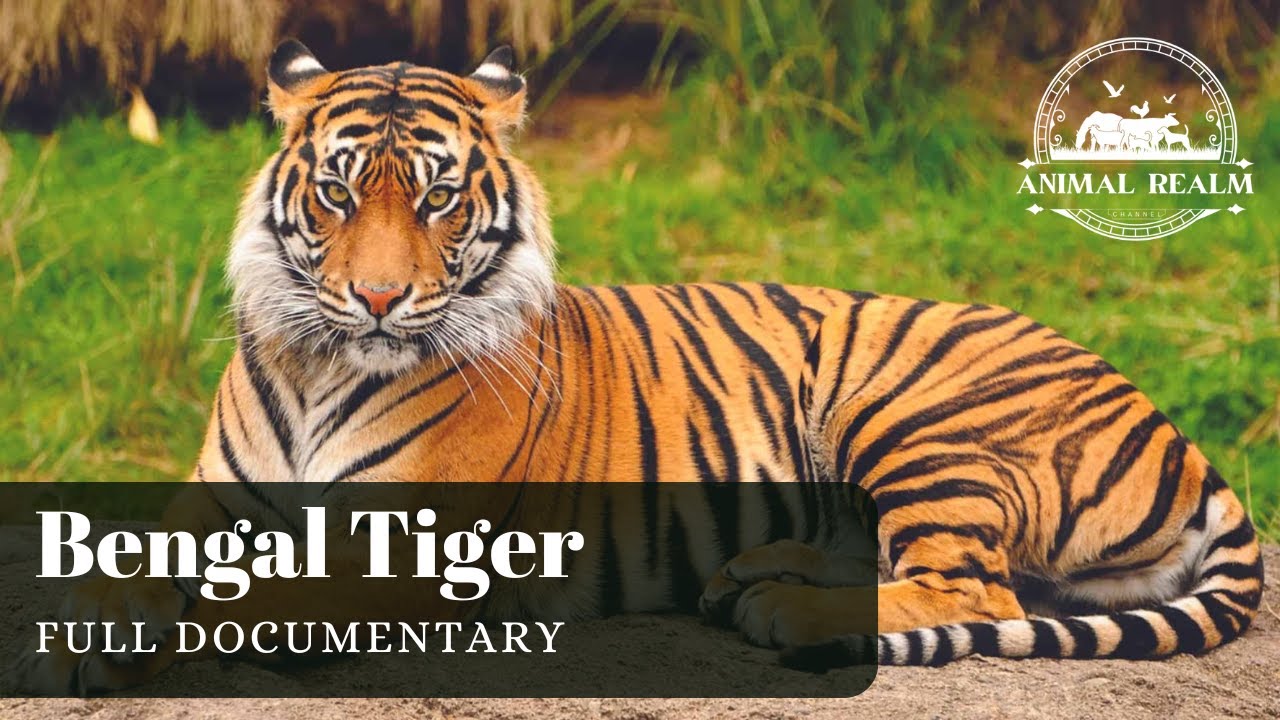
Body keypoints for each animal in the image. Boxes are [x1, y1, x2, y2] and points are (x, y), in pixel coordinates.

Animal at [13, 40, 1263, 694]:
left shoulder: (418, 550)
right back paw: (753, 573)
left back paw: (784, 613)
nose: (375, 298)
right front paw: (88, 628)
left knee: (974, 586)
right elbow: (139, 558)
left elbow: (261, 588)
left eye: (435, 198)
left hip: (916, 409)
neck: (325, 365)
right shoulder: (209, 499)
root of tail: (1174, 433)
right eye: (335, 192)